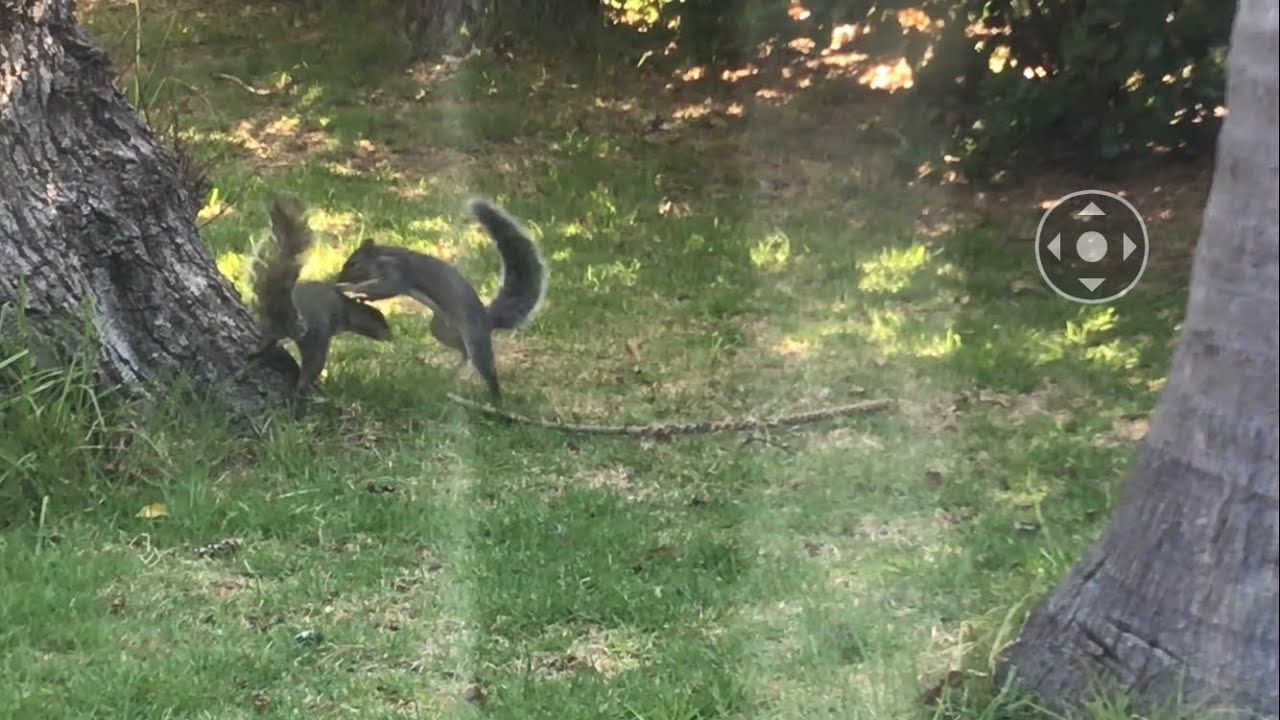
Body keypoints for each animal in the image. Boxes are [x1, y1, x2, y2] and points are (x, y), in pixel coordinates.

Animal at [246, 194, 394, 397]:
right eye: (377, 319)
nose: (391, 337)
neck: (348, 306)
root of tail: (289, 318)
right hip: (316, 342)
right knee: (310, 368)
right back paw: (305, 389)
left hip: (269, 327)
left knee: (267, 341)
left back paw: (256, 352)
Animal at [334, 197, 548, 404]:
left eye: (353, 263)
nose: (338, 277)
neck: (383, 256)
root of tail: (487, 319)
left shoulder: (397, 273)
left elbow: (386, 288)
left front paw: (351, 289)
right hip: (441, 329)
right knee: (464, 351)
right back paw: (456, 371)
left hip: (475, 336)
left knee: (484, 364)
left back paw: (496, 399)